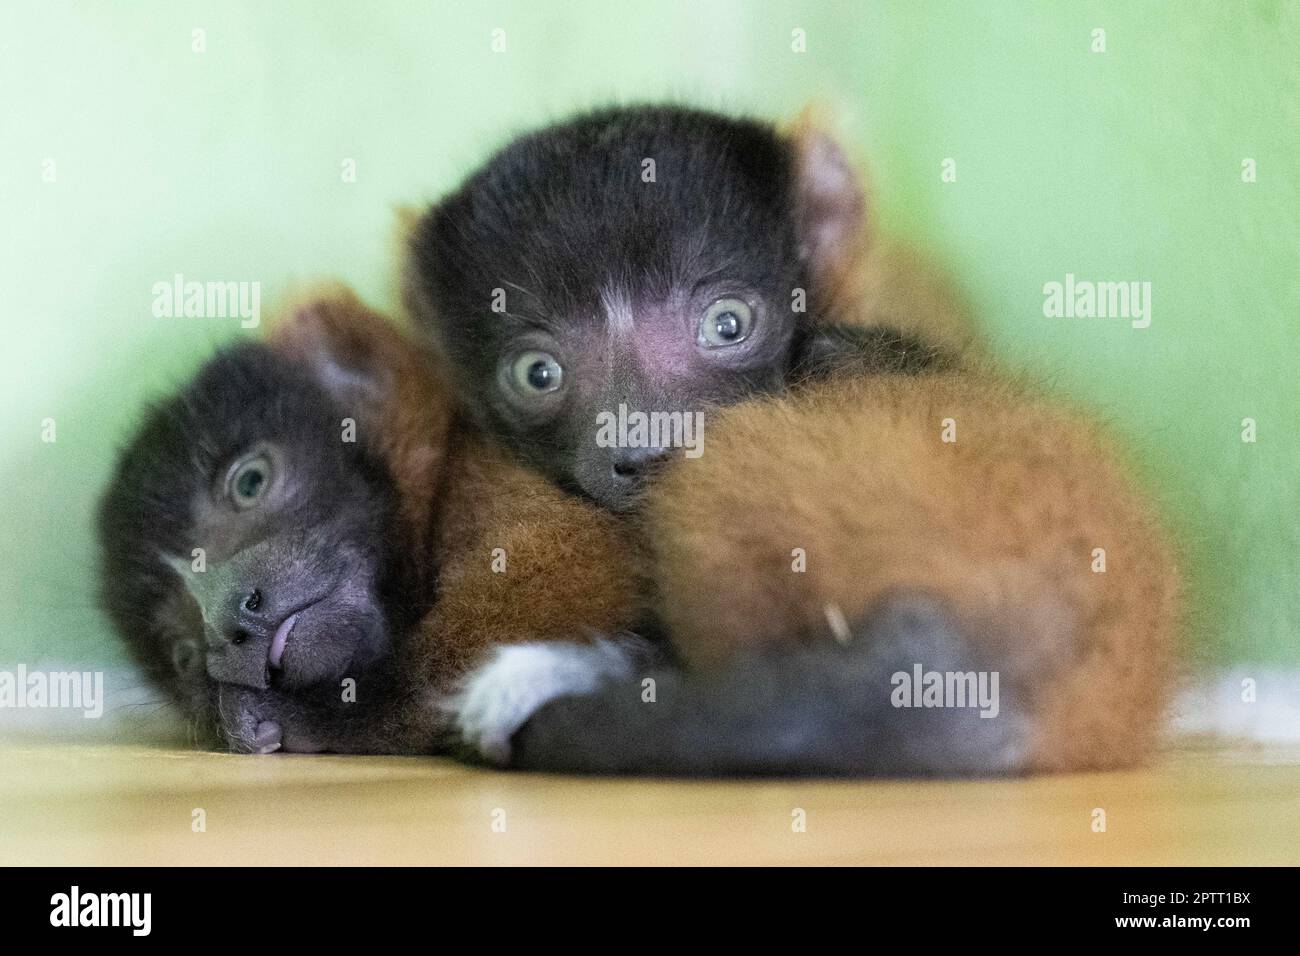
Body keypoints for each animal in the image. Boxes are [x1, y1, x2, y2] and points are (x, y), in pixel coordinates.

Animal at [97, 288, 648, 755]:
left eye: (250, 482)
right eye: (183, 652)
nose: (231, 616)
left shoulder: (493, 480)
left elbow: (567, 581)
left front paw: (312, 720)